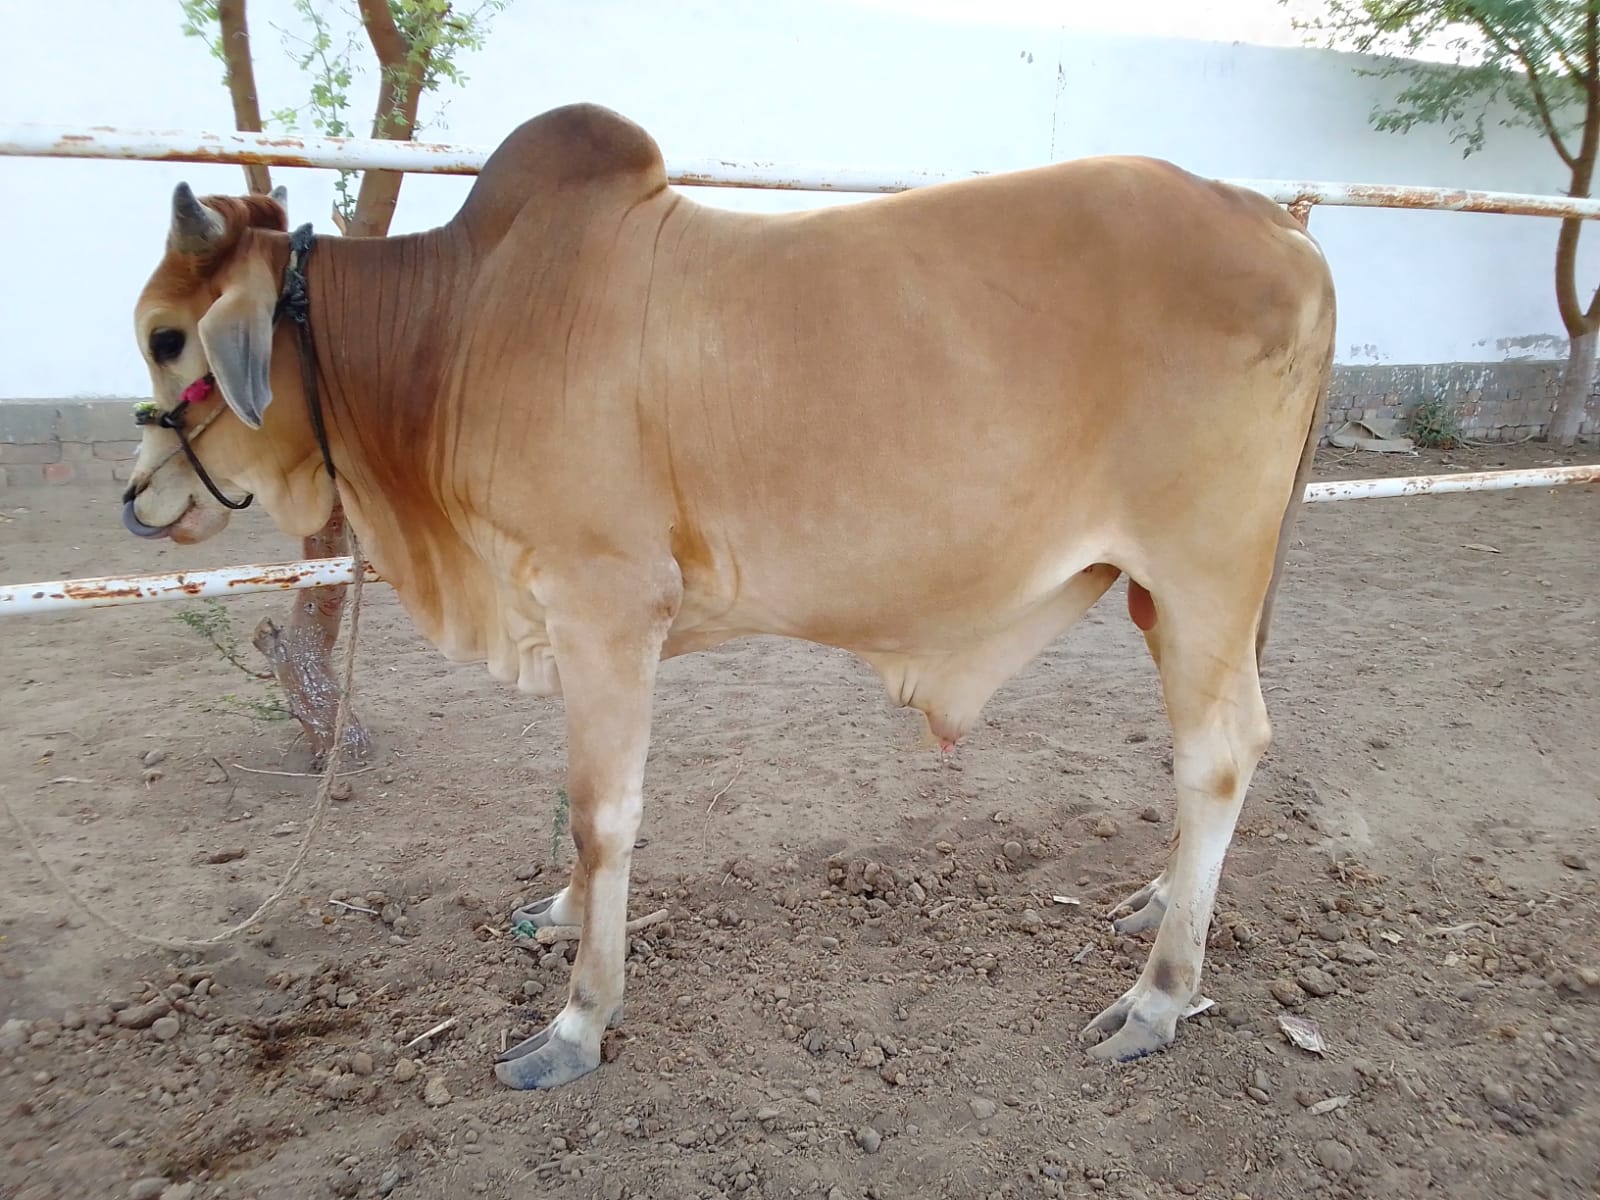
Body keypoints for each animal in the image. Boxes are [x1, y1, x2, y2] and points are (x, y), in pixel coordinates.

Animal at [120, 102, 1336, 1090]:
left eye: (167, 337)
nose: (137, 498)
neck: (460, 331)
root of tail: (1277, 226)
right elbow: (581, 812)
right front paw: (561, 919)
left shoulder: (605, 604)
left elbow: (601, 813)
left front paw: (577, 1021)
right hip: (1159, 594)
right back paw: (1156, 901)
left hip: (1203, 575)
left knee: (1219, 756)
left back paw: (1158, 998)